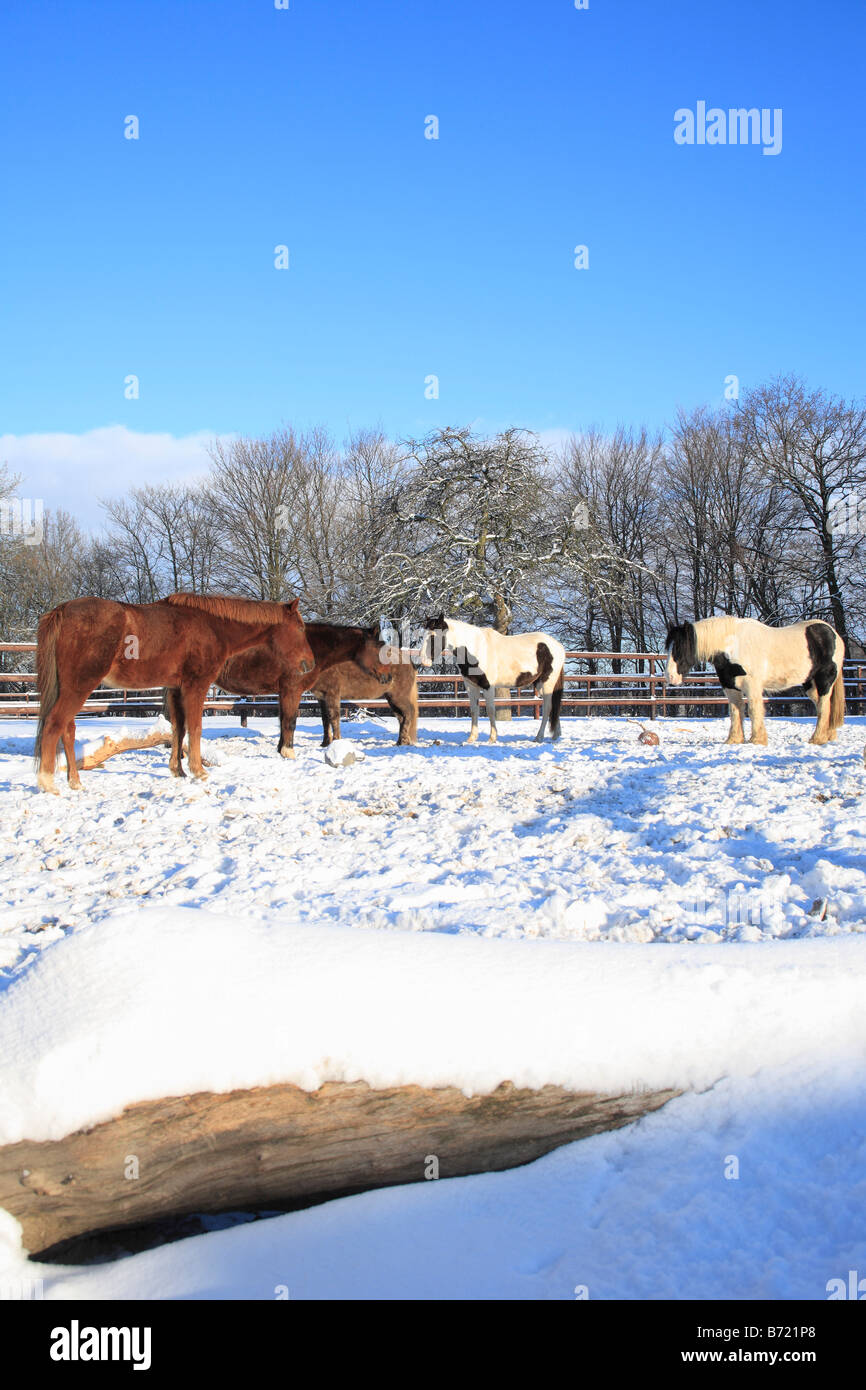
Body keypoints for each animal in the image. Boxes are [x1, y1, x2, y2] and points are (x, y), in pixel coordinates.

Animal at [34, 594, 314, 792]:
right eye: (300, 628)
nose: (309, 663)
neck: (212, 627)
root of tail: (62, 610)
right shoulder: (195, 685)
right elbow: (195, 727)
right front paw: (198, 771)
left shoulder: (176, 689)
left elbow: (179, 728)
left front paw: (178, 770)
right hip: (80, 686)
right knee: (54, 724)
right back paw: (47, 781)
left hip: (70, 687)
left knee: (67, 729)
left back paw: (74, 781)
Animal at [216, 621, 393, 758]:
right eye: (380, 650)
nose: (389, 677)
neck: (310, 647)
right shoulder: (293, 691)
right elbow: (291, 721)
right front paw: (288, 752)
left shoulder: (287, 692)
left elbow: (284, 720)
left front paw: (281, 749)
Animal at [420, 616, 566, 744]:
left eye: (433, 636)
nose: (423, 661)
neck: (476, 648)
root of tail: (558, 646)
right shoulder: (471, 686)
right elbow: (474, 710)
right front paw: (471, 738)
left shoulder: (488, 686)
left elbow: (490, 710)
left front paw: (492, 738)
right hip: (540, 684)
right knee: (554, 706)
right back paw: (555, 736)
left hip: (547, 684)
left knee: (547, 708)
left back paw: (539, 737)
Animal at [665, 615, 846, 746]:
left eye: (679, 648)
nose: (670, 677)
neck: (733, 645)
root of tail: (833, 633)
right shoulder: (730, 687)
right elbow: (735, 712)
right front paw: (734, 740)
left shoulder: (752, 686)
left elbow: (753, 710)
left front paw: (757, 740)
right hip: (810, 684)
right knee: (826, 707)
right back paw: (829, 736)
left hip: (824, 681)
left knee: (823, 707)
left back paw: (817, 739)